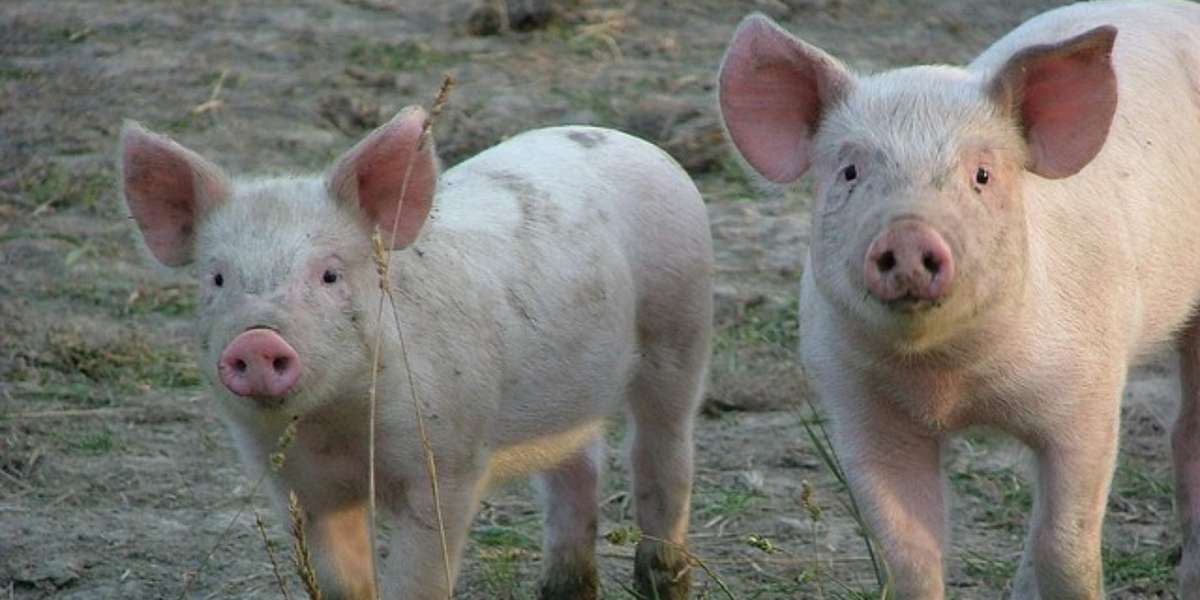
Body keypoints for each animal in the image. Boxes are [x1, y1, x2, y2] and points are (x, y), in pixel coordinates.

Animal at [119, 109, 712, 599]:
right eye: (217, 278)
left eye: (330, 274)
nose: (258, 340)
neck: (338, 426)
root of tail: (628, 139)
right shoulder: (299, 485)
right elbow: (344, 581)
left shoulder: (447, 461)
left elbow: (420, 577)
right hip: (569, 400)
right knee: (579, 471)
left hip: (680, 327)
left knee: (662, 456)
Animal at [717, 1, 1200, 598]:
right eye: (850, 171)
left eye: (983, 174)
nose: (907, 234)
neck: (949, 382)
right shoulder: (859, 407)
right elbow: (910, 557)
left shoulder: (1090, 394)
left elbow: (1067, 547)